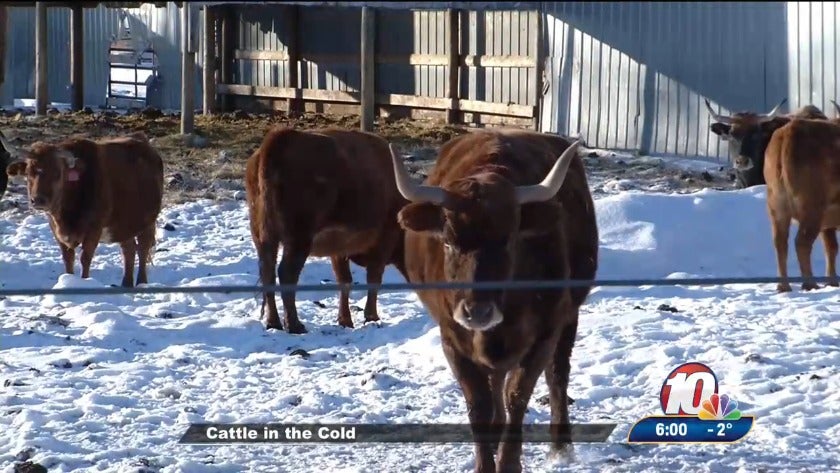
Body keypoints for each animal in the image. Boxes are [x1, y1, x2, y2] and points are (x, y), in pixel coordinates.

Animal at [3, 131, 164, 287]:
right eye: (29, 172)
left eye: (58, 173)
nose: (38, 200)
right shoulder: (56, 230)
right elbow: (68, 259)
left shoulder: (94, 229)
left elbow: (85, 259)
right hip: (125, 224)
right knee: (128, 250)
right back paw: (126, 284)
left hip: (148, 221)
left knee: (142, 249)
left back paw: (142, 283)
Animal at [244, 127, 408, 334]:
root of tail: (280, 138)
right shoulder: (385, 238)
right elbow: (374, 277)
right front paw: (372, 317)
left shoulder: (339, 248)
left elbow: (344, 281)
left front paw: (345, 320)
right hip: (298, 239)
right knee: (286, 274)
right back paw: (295, 325)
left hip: (263, 237)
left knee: (268, 273)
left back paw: (274, 323)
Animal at [389, 129, 598, 472]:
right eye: (448, 241)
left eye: (508, 239)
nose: (477, 311)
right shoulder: (452, 339)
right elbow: (479, 404)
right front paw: (485, 463)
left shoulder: (546, 333)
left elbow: (519, 394)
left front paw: (509, 461)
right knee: (496, 381)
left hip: (569, 319)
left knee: (557, 376)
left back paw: (560, 445)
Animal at [762, 117, 840, 292]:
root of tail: (786, 135)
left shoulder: (829, 221)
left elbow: (831, 247)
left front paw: (832, 281)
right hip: (811, 206)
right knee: (802, 242)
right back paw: (810, 283)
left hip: (777, 205)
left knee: (780, 242)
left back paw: (784, 285)